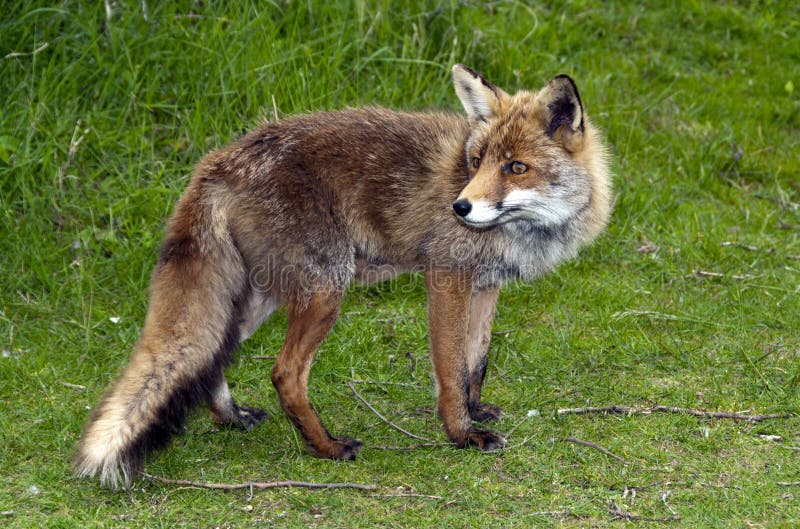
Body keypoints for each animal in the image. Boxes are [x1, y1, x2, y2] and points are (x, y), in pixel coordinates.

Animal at [73, 64, 612, 488]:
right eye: (477, 162)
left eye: (516, 167)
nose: (459, 207)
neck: (526, 230)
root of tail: (219, 159)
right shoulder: (447, 279)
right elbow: (450, 371)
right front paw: (462, 433)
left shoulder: (486, 286)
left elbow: (475, 362)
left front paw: (476, 410)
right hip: (325, 292)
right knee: (284, 374)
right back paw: (326, 447)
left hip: (261, 299)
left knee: (211, 356)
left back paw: (231, 417)